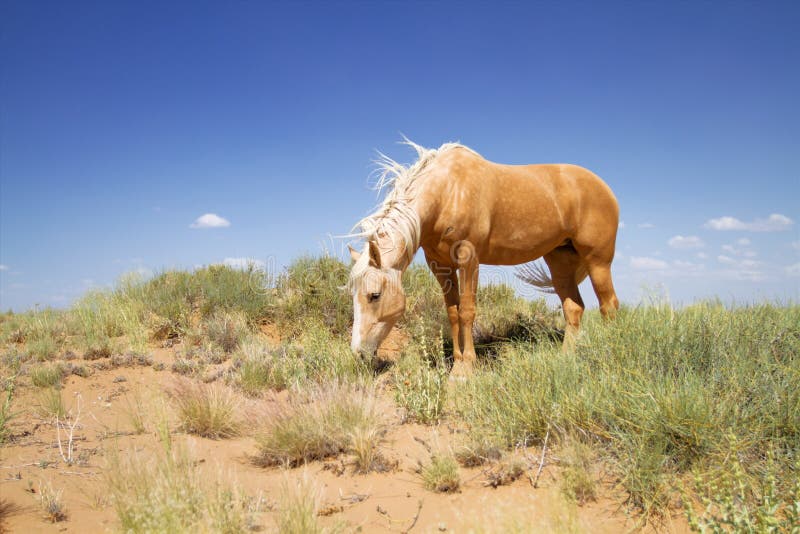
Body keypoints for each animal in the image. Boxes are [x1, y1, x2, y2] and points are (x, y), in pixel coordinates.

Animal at [348, 140, 619, 377]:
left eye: (374, 295)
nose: (358, 353)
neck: (448, 191)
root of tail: (604, 188)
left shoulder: (469, 257)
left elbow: (467, 310)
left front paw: (466, 368)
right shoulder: (441, 266)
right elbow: (453, 312)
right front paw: (457, 363)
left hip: (598, 261)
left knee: (609, 306)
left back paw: (608, 354)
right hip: (559, 261)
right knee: (574, 308)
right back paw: (565, 358)